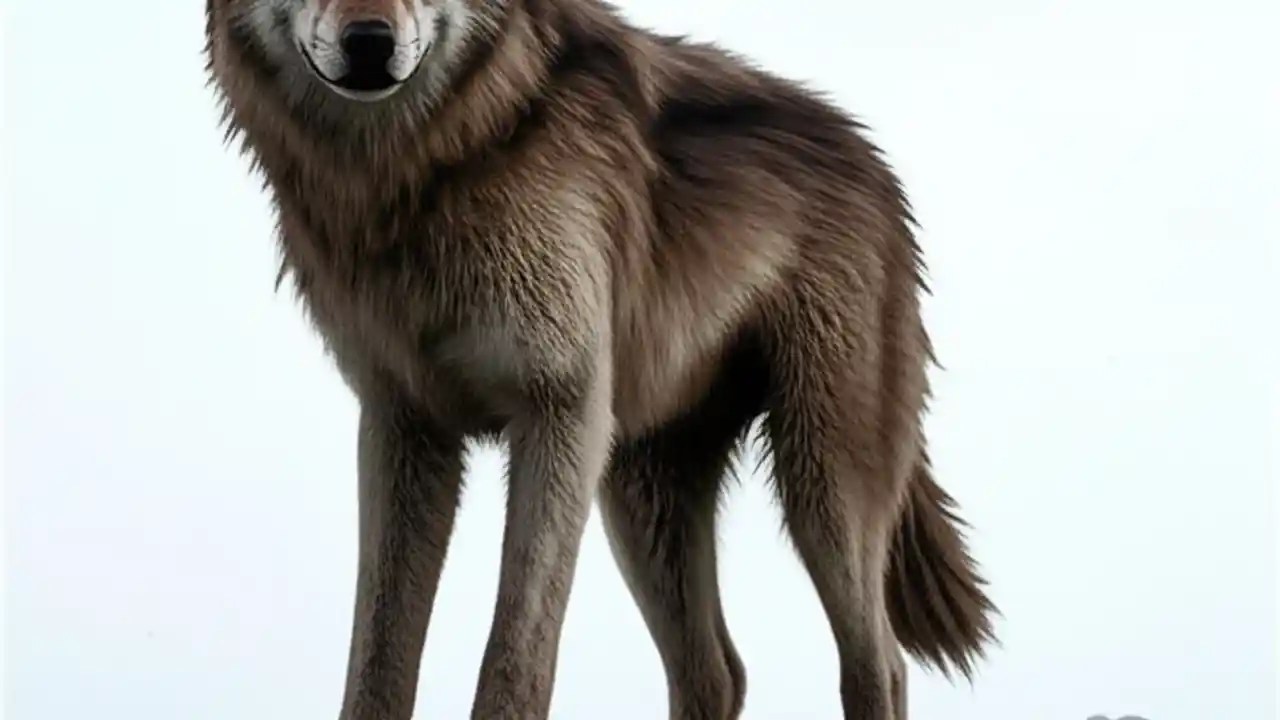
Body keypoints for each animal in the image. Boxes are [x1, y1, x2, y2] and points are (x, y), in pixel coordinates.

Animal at [204, 1, 996, 718]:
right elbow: (377, 657)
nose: (369, 42)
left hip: (820, 482)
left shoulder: (560, 412)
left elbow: (515, 657)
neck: (423, 172)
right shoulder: (404, 421)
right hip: (641, 495)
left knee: (878, 661)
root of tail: (869, 154)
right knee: (716, 673)